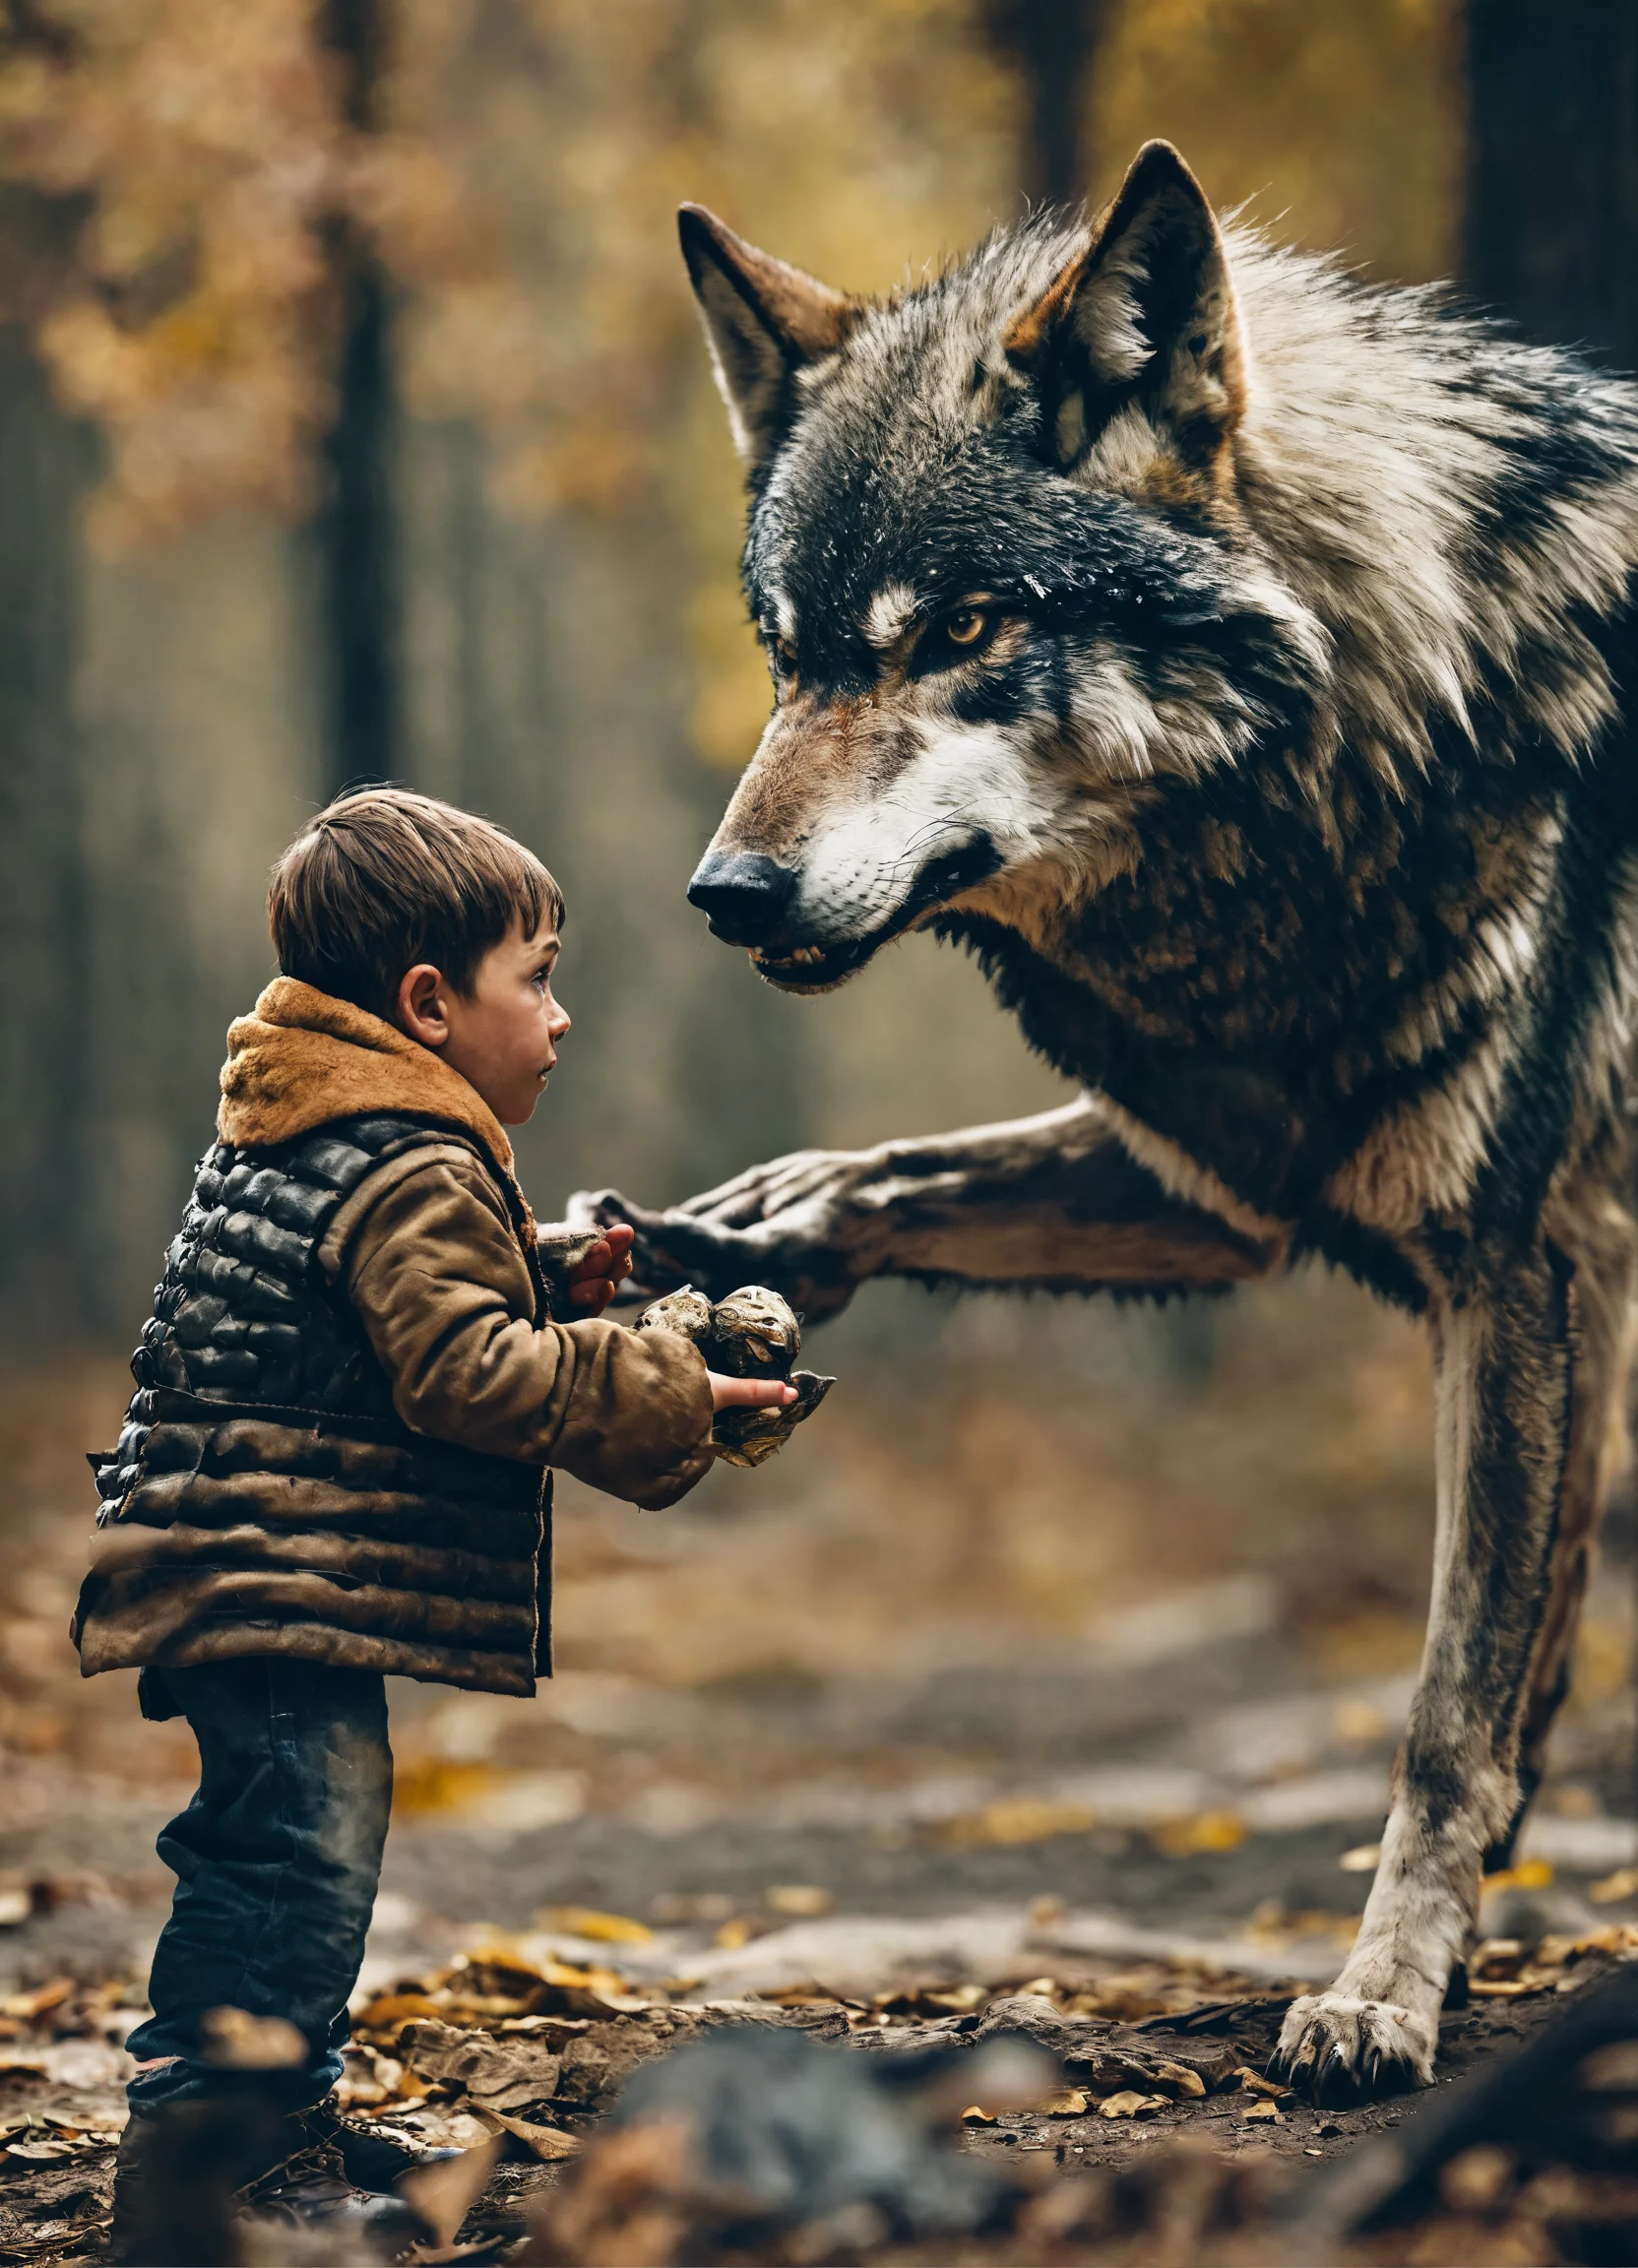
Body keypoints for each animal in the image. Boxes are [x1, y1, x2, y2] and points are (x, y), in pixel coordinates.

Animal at [572, 142, 1638, 2100]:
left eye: (963, 628)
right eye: (786, 653)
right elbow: (885, 1176)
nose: (726, 897)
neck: (1395, 730)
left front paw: (1382, 1991)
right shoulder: (1262, 1162)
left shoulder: (1516, 1253)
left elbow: (1446, 1706)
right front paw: (732, 1239)